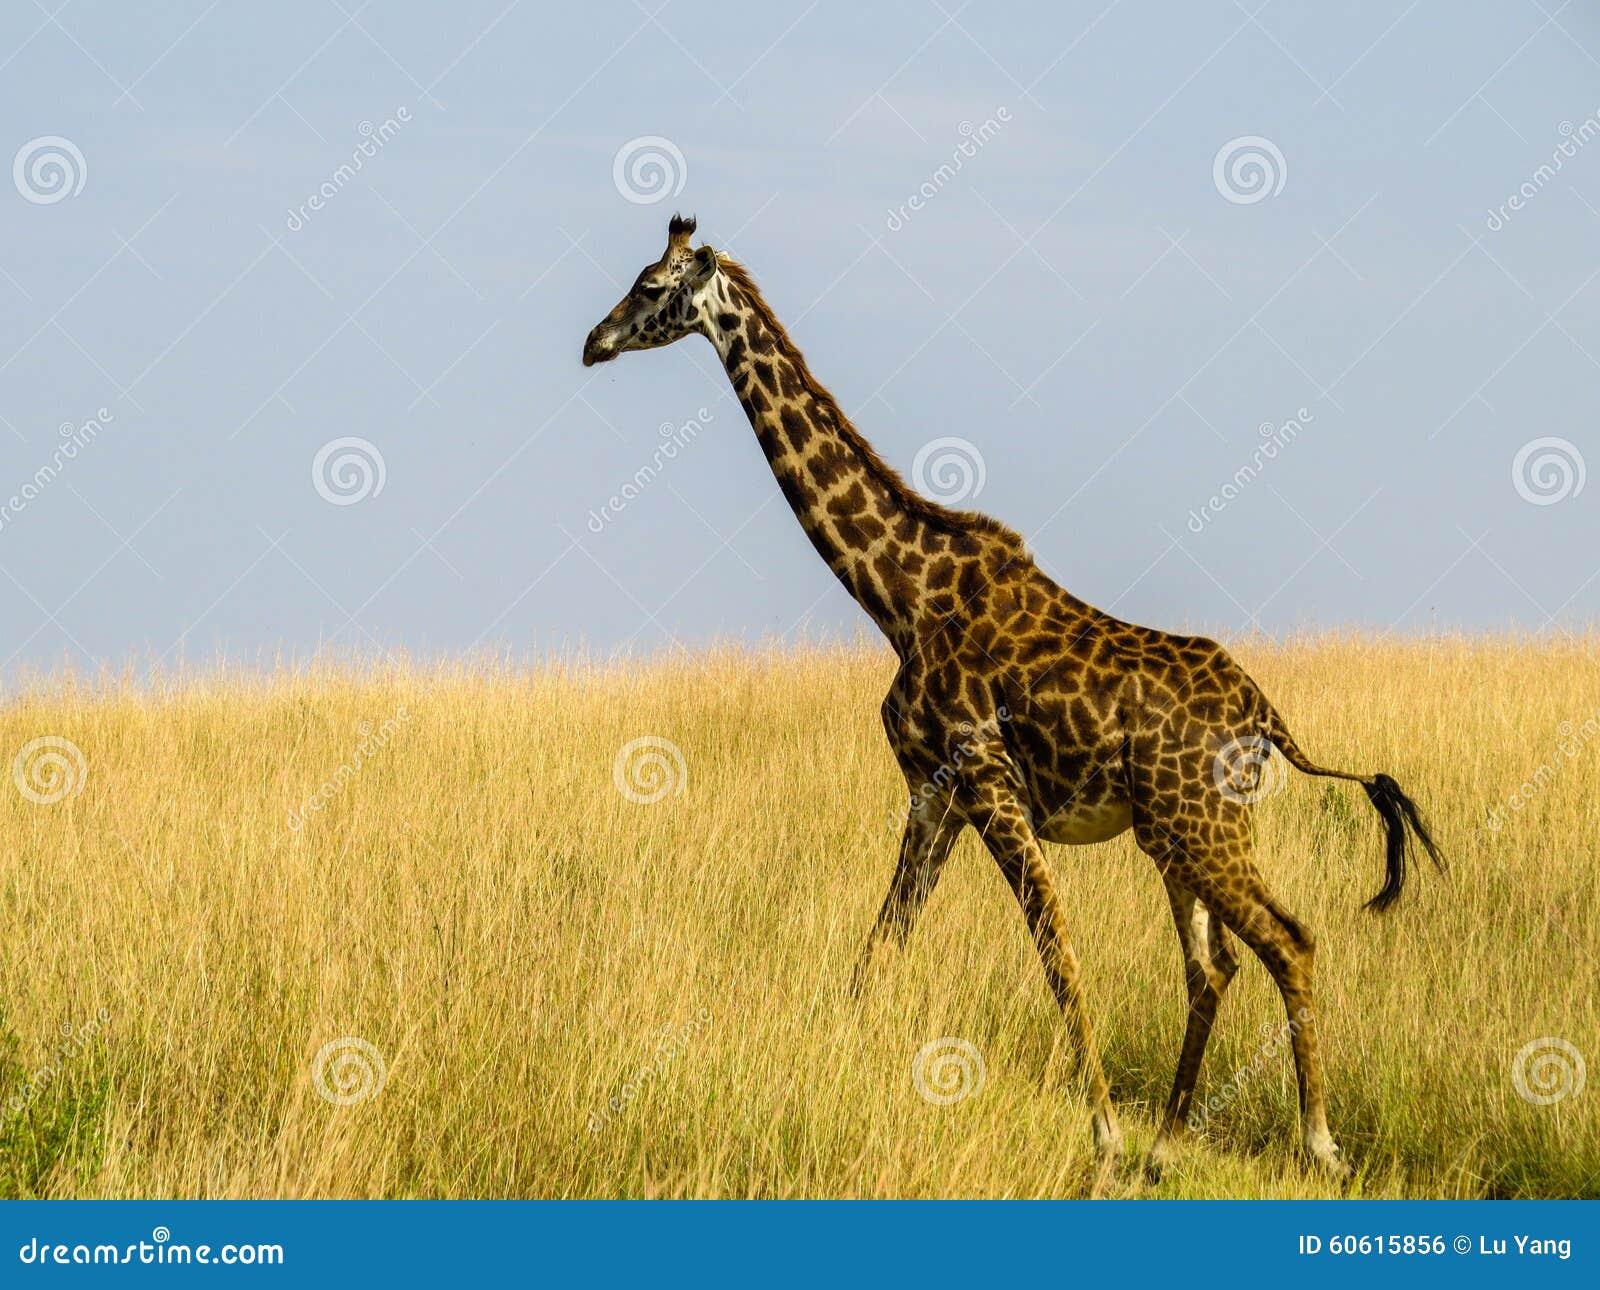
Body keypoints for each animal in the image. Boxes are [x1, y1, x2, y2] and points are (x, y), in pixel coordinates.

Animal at [582, 214, 1444, 1179]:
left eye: (651, 286)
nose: (594, 342)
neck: (900, 597)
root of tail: (1268, 722)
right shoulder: (934, 792)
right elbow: (882, 946)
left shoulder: (989, 781)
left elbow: (1056, 950)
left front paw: (1102, 1135)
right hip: (1177, 832)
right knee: (1213, 965)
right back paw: (1168, 1145)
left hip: (1202, 825)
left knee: (1287, 940)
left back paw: (1317, 1145)